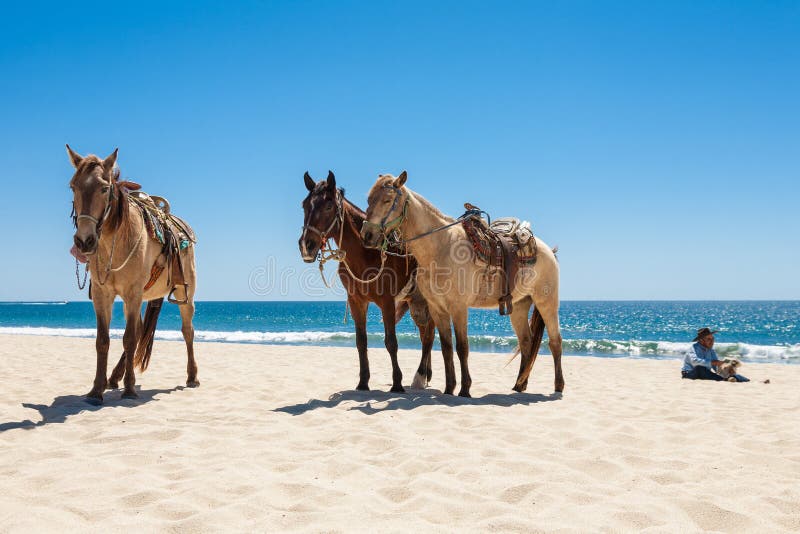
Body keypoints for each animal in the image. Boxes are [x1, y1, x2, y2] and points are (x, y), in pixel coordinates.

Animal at [67, 145, 199, 403]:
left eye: (104, 188)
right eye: (73, 186)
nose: (84, 241)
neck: (115, 245)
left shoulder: (132, 293)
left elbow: (128, 338)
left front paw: (129, 389)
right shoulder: (103, 295)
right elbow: (103, 340)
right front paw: (96, 390)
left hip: (183, 292)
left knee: (187, 331)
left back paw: (192, 377)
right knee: (139, 331)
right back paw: (114, 377)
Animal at [299, 171, 436, 392]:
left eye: (328, 206)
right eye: (304, 205)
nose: (306, 245)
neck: (366, 253)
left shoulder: (387, 303)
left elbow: (391, 342)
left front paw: (397, 383)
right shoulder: (357, 301)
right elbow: (361, 342)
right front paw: (363, 382)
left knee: (429, 336)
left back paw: (420, 376)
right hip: (414, 302)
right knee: (426, 334)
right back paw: (425, 376)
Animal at [361, 172, 563, 397]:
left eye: (387, 200)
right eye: (369, 199)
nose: (367, 235)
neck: (441, 247)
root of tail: (549, 251)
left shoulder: (458, 308)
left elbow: (462, 347)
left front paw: (465, 388)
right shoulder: (437, 308)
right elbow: (446, 347)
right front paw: (449, 388)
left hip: (547, 303)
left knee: (555, 341)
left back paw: (558, 386)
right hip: (519, 306)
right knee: (526, 342)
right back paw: (519, 384)